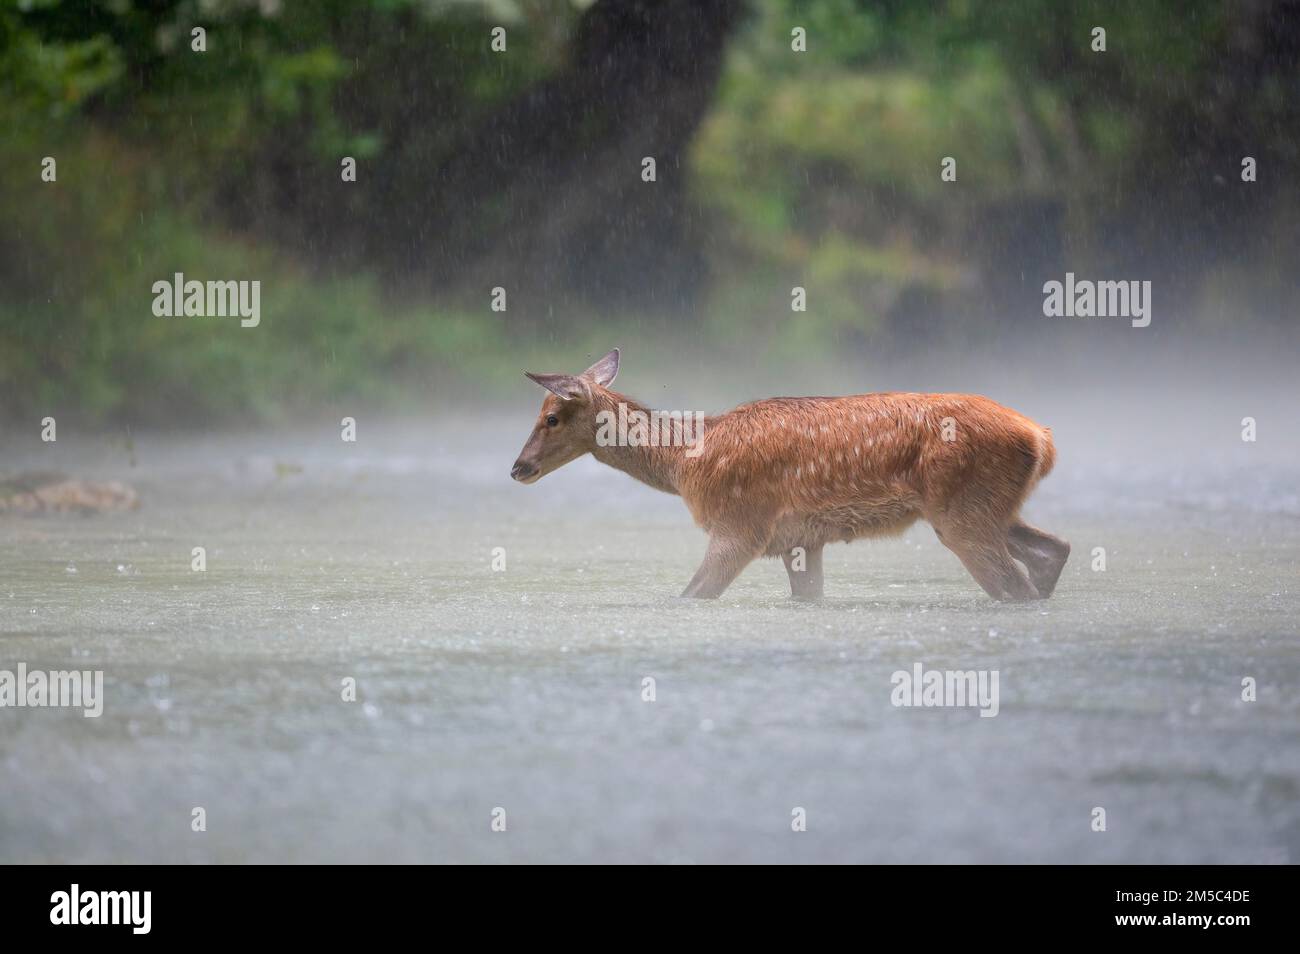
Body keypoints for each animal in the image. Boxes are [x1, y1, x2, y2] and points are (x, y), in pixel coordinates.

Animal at [510, 349, 1070, 602]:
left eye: (551, 417)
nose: (519, 467)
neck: (686, 461)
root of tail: (1042, 439)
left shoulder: (740, 524)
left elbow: (693, 592)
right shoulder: (800, 539)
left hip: (963, 512)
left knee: (1015, 583)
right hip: (984, 509)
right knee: (1054, 550)